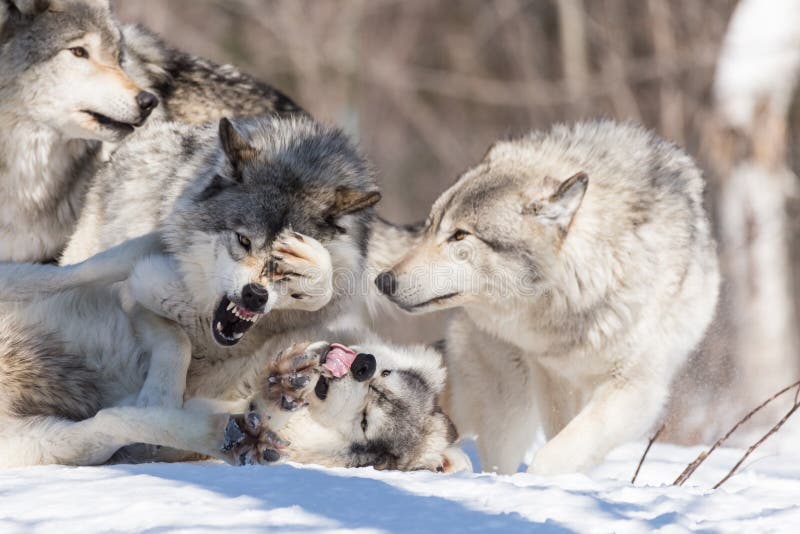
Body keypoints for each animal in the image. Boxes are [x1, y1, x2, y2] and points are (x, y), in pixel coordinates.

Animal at [0, 237, 467, 472]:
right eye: (385, 375)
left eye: (366, 421)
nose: (363, 366)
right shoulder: (152, 307)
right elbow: (174, 335)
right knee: (74, 272)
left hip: (42, 445)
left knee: (110, 423)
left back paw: (230, 433)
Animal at [61, 114, 380, 410]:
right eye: (243, 240)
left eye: (283, 266)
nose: (255, 295)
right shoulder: (138, 301)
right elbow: (177, 341)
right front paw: (159, 400)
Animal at [373, 120, 720, 475]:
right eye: (431, 227)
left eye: (460, 235)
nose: (384, 281)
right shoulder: (552, 376)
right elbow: (558, 438)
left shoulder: (634, 387)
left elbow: (556, 452)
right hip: (511, 400)